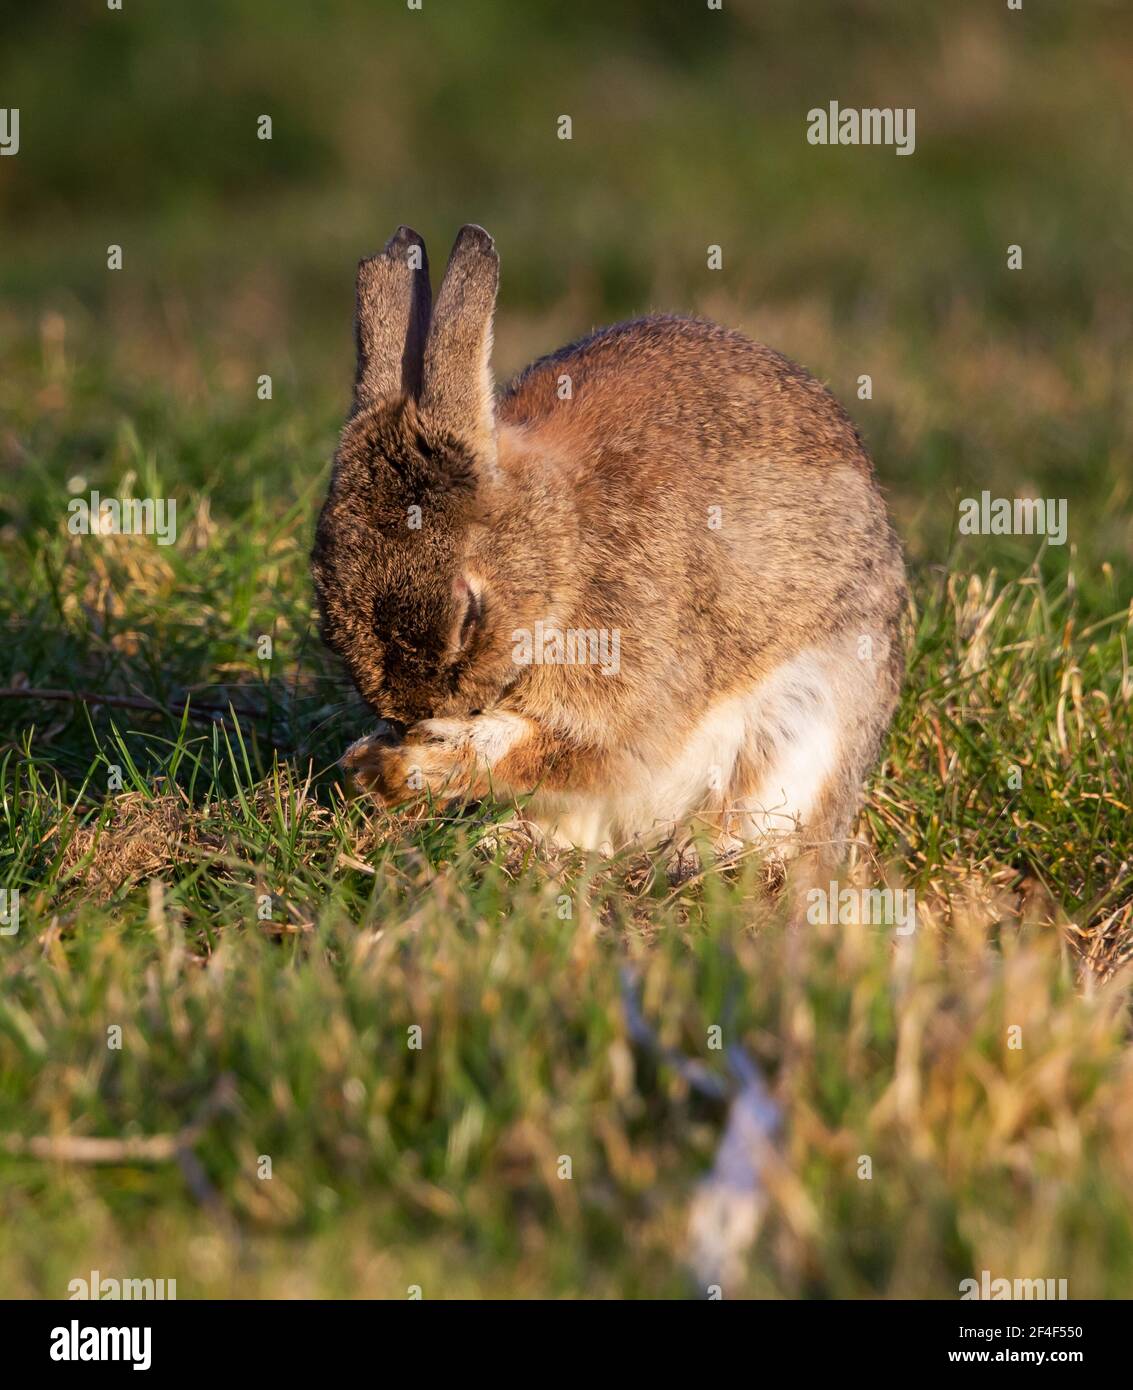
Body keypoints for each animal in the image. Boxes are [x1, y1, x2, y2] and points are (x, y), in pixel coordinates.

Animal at [311, 224, 907, 864]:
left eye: (468, 617)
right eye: (328, 615)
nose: (409, 716)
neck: (565, 545)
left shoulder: (634, 682)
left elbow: (575, 752)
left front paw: (407, 765)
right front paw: (373, 763)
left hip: (809, 726)